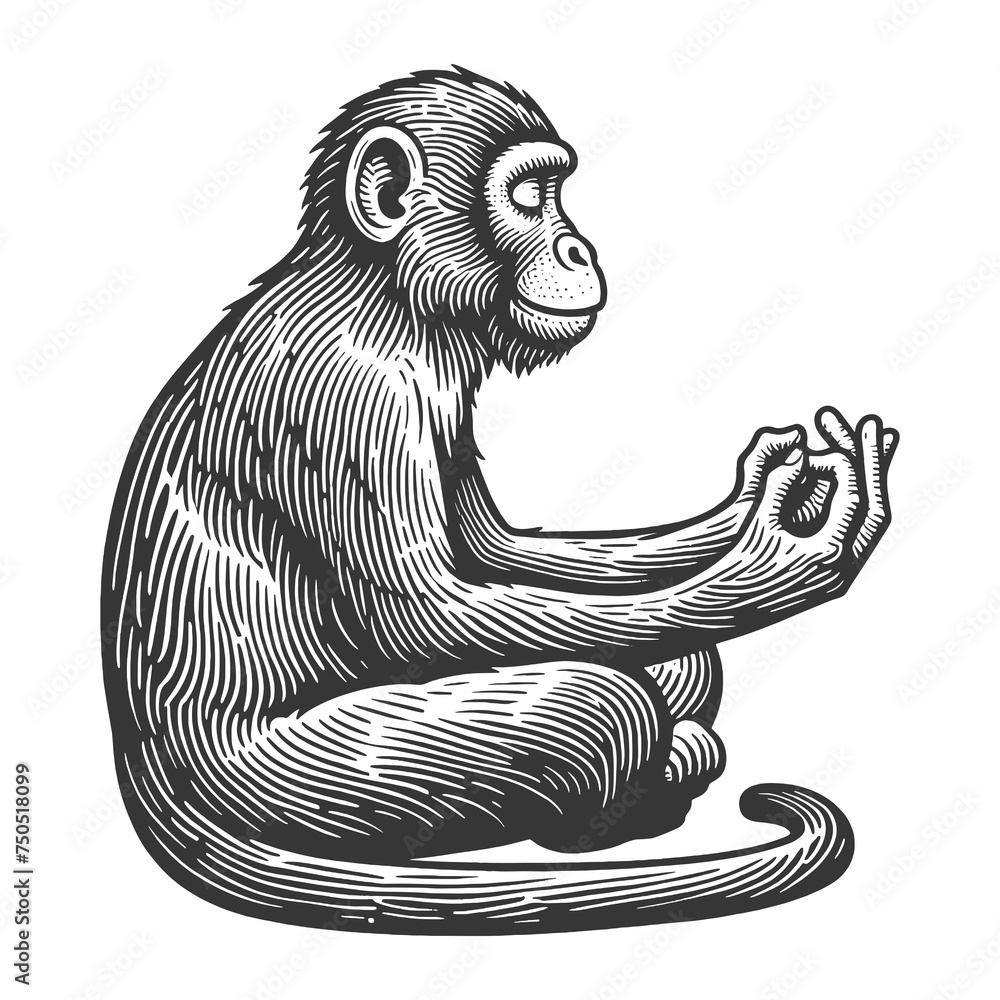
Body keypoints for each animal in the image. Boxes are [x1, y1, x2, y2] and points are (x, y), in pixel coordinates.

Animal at [101, 68, 896, 934]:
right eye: (526, 195)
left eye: (556, 190)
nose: (578, 246)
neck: (384, 288)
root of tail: (148, 778)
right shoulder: (361, 396)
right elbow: (429, 613)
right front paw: (766, 568)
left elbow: (499, 550)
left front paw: (752, 495)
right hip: (298, 777)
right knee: (598, 703)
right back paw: (632, 798)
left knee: (673, 664)